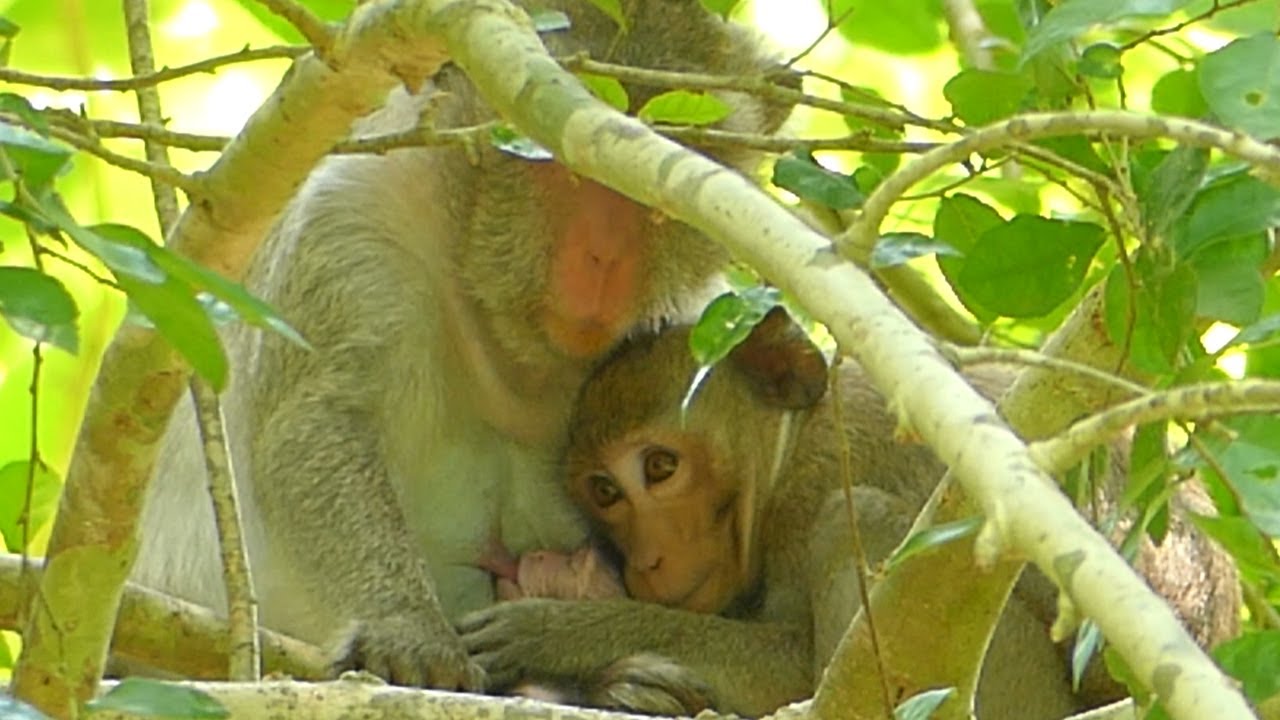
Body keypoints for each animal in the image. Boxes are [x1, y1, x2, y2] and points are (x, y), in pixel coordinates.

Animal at [128, 0, 793, 692]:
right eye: (556, 166)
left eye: (649, 190)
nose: (604, 260)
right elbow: (315, 422)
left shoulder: (697, 316)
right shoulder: (356, 216)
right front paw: (408, 626)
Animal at [459, 306, 1085, 718]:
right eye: (605, 490)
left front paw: (555, 631)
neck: (790, 445)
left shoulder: (820, 480)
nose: (647, 560)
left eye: (660, 466)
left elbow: (794, 667)